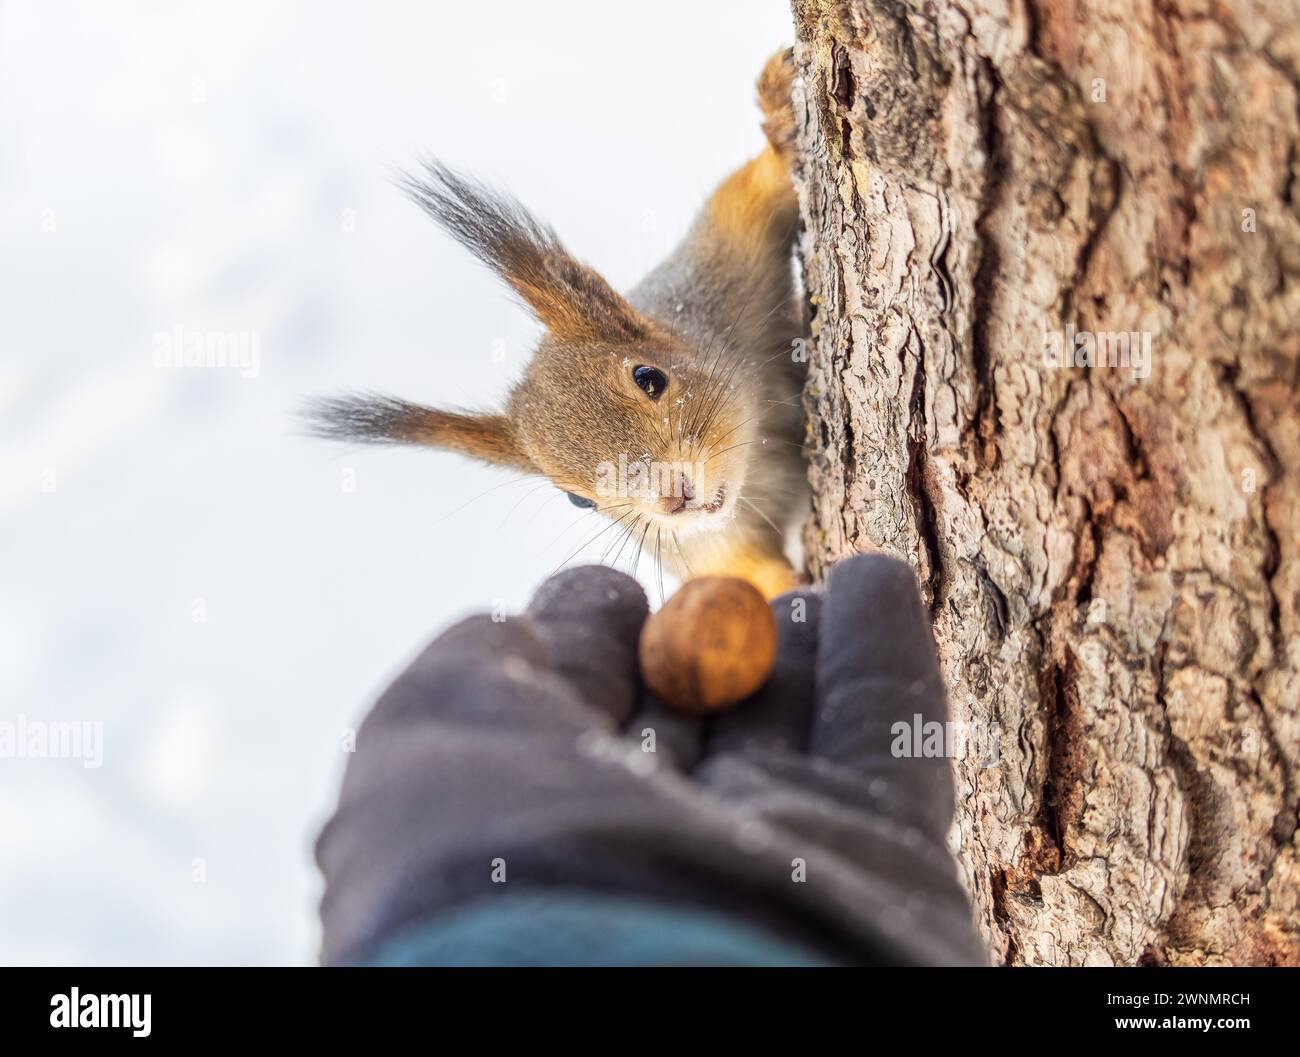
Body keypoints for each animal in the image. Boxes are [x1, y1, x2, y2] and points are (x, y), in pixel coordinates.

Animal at [308, 50, 806, 599]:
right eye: (578, 500)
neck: (755, 456)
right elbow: (742, 572)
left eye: (649, 377)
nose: (673, 499)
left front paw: (778, 116)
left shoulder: (717, 279)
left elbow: (749, 197)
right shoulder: (700, 544)